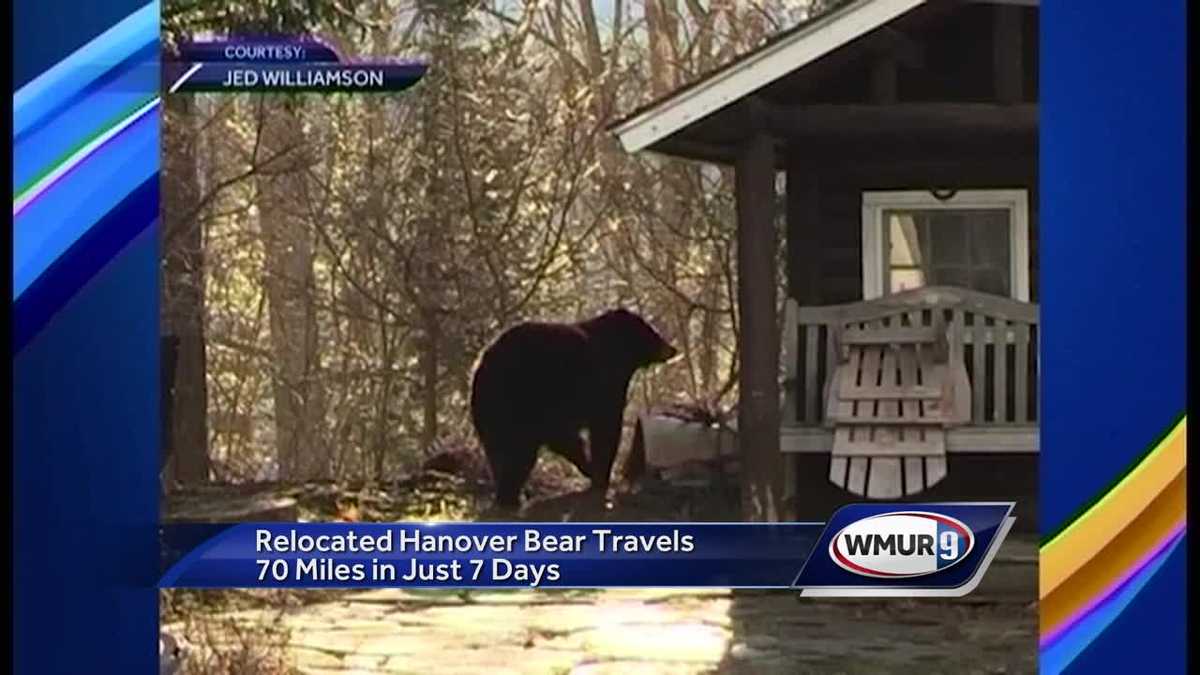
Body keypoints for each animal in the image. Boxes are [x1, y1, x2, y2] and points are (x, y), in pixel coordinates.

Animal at [470, 308, 678, 509]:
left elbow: (567, 438)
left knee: (498, 450)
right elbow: (605, 429)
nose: (672, 349)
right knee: (520, 450)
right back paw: (510, 496)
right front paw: (600, 475)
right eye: (652, 332)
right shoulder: (601, 385)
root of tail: (485, 364)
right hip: (519, 400)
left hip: (489, 412)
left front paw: (591, 470)